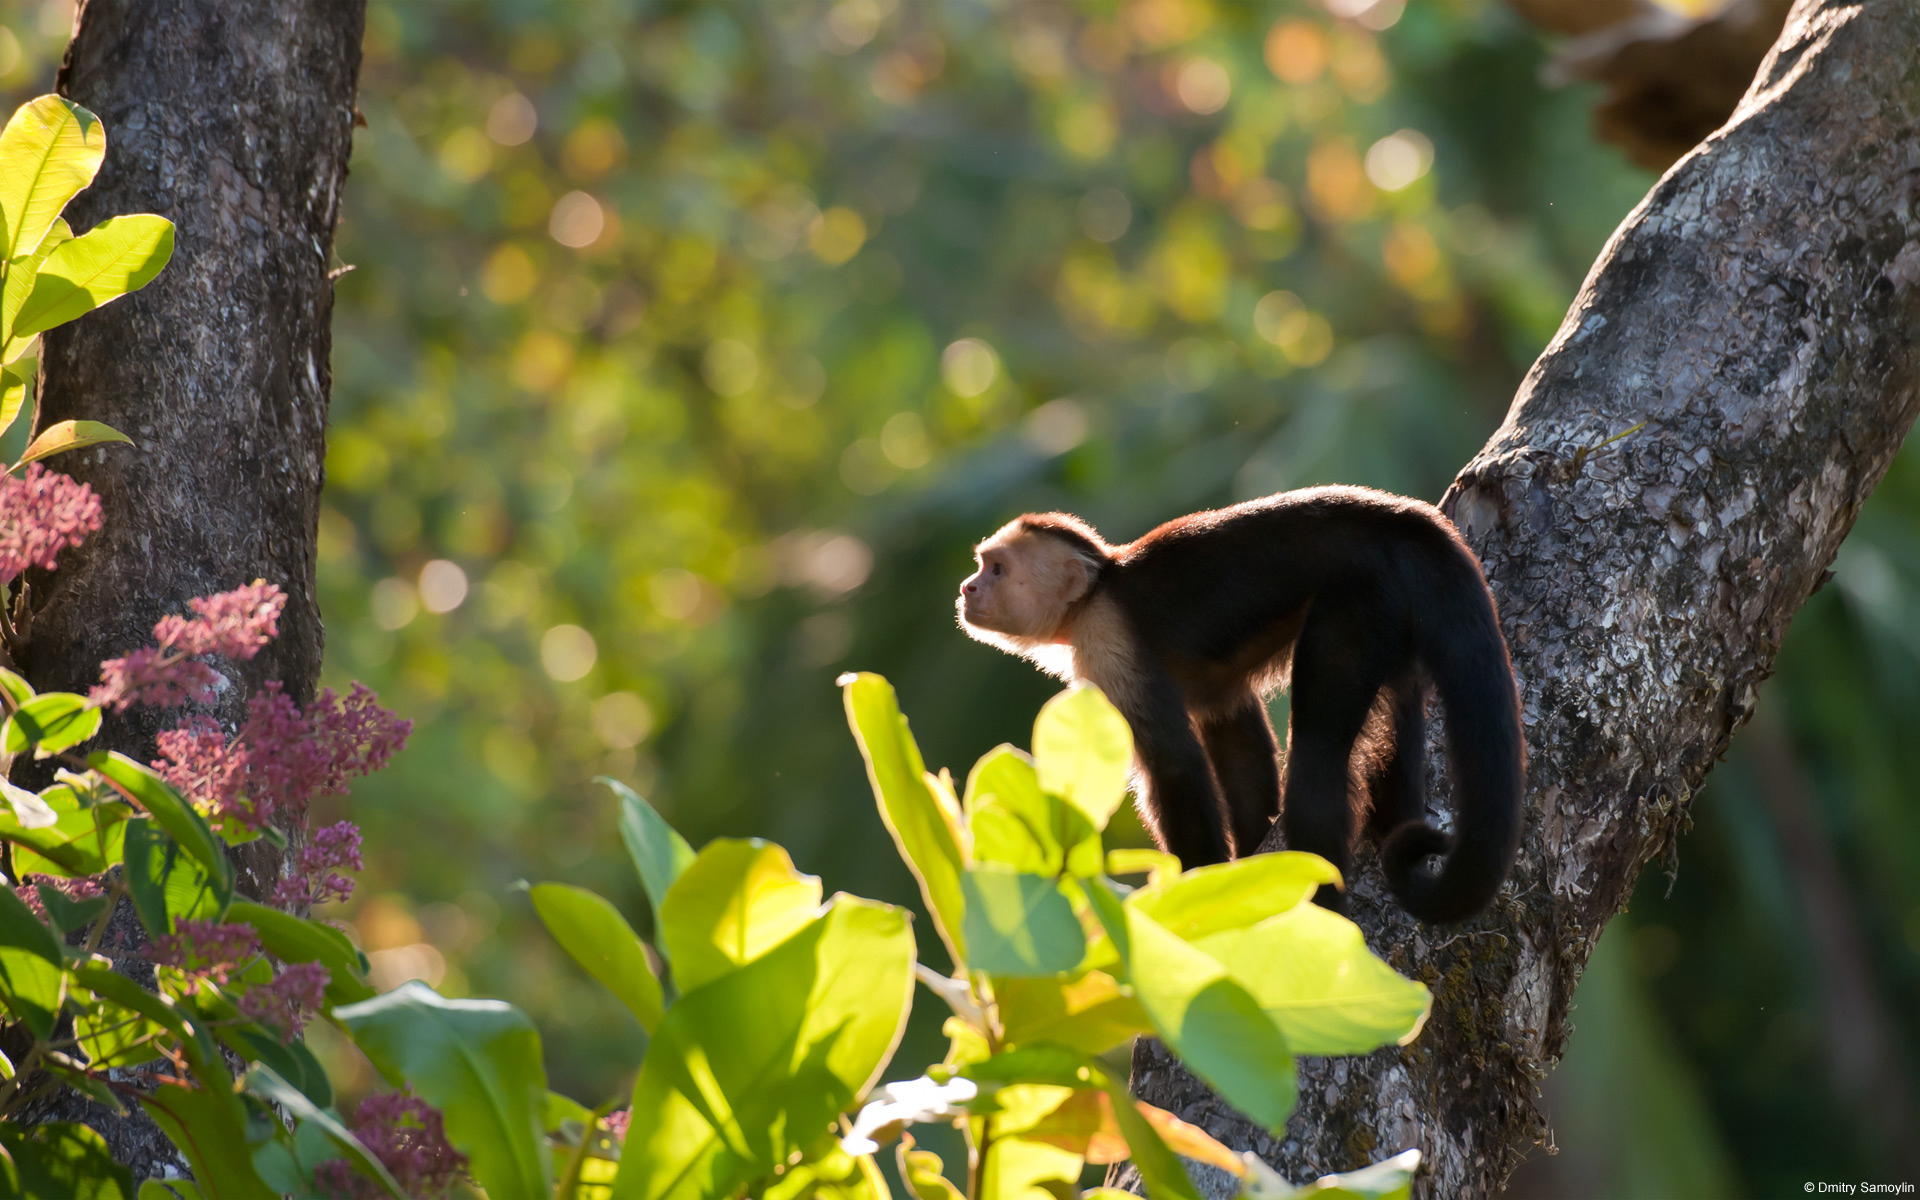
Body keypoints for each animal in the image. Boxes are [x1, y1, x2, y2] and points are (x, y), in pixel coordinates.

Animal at [955, 485, 1523, 924]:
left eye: (998, 570)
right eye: (982, 565)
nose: (967, 587)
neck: (1097, 590)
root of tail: (1390, 515)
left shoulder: (1106, 638)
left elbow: (1175, 766)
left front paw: (1193, 894)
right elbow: (1231, 728)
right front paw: (1248, 858)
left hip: (1359, 601)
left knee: (1318, 753)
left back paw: (1324, 908)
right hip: (1393, 613)